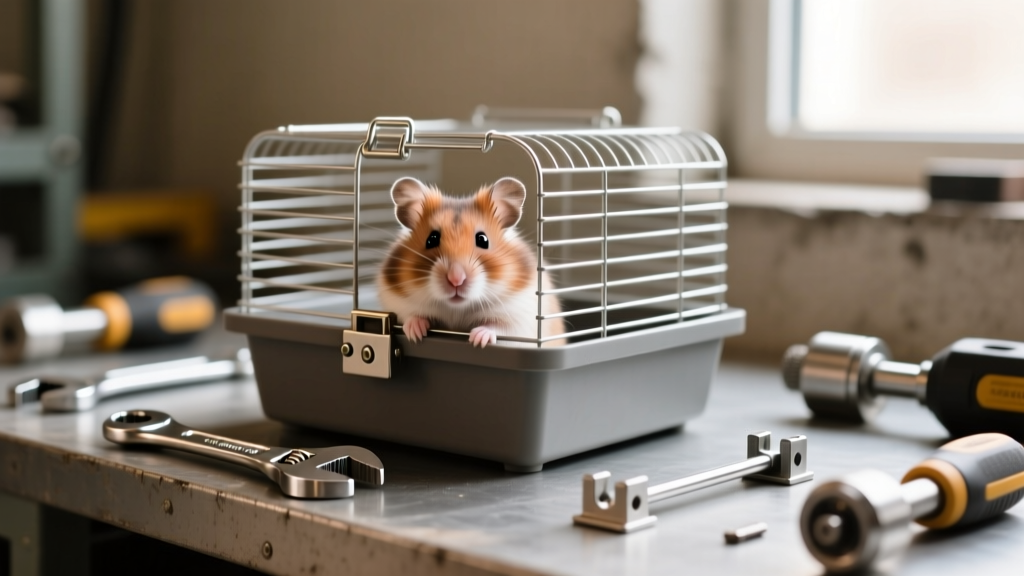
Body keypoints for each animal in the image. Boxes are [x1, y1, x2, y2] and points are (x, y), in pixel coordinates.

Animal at [377, 176, 565, 348]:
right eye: (431, 239)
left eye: (483, 239)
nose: (456, 280)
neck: (456, 309)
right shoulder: (399, 303)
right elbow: (410, 316)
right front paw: (415, 334)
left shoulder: (520, 318)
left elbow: (498, 327)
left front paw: (477, 339)